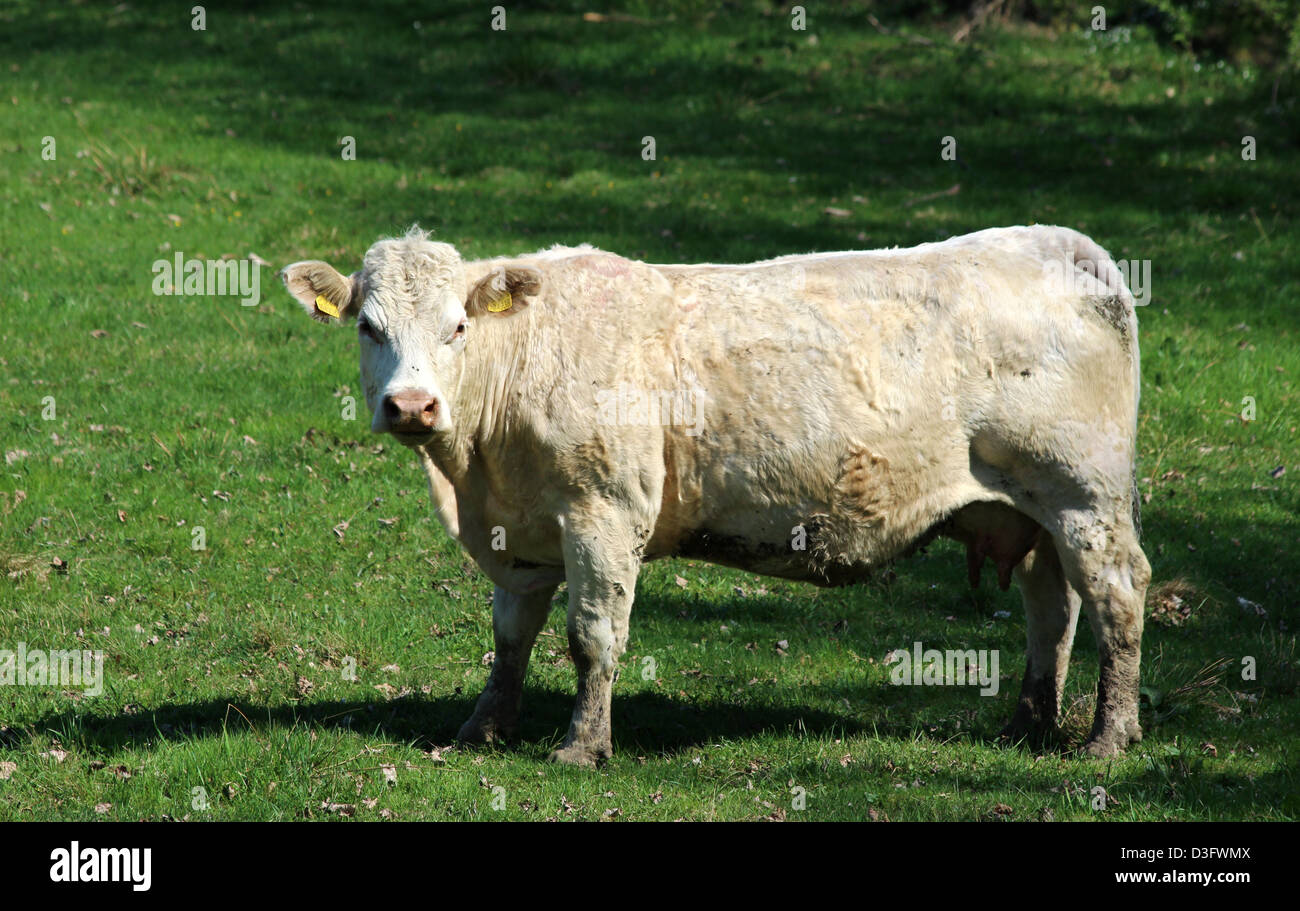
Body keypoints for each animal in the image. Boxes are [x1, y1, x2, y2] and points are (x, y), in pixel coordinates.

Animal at [279, 224, 1150, 767]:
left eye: (458, 326)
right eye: (368, 327)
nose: (412, 406)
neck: (478, 474)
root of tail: (1065, 245)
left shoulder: (604, 511)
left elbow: (593, 636)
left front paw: (581, 745)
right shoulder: (518, 530)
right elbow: (511, 636)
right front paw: (480, 729)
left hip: (1084, 495)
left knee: (1116, 595)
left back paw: (1108, 737)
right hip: (1027, 510)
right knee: (1052, 606)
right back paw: (1030, 722)